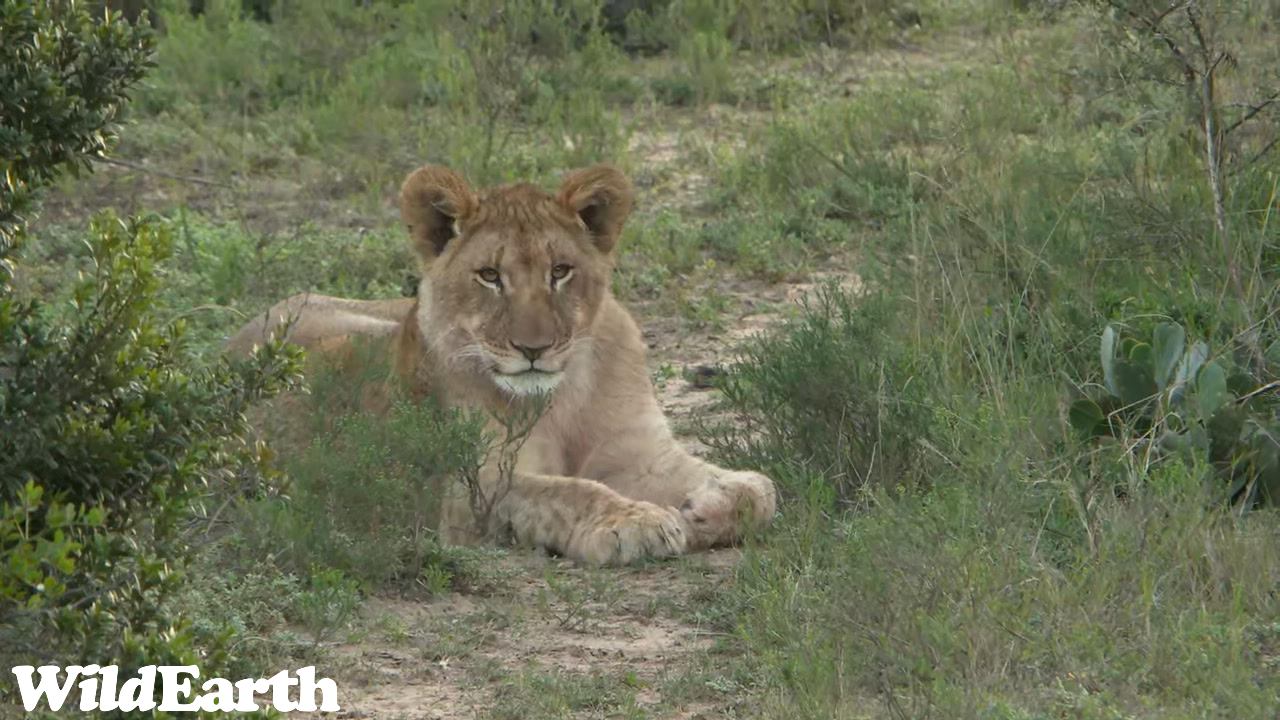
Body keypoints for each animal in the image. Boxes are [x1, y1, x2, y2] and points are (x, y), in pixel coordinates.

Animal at [227, 165, 777, 564]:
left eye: (561, 271)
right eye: (490, 276)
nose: (533, 348)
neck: (562, 398)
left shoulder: (640, 454)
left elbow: (763, 489)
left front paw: (702, 508)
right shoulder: (470, 491)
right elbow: (566, 492)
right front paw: (633, 523)